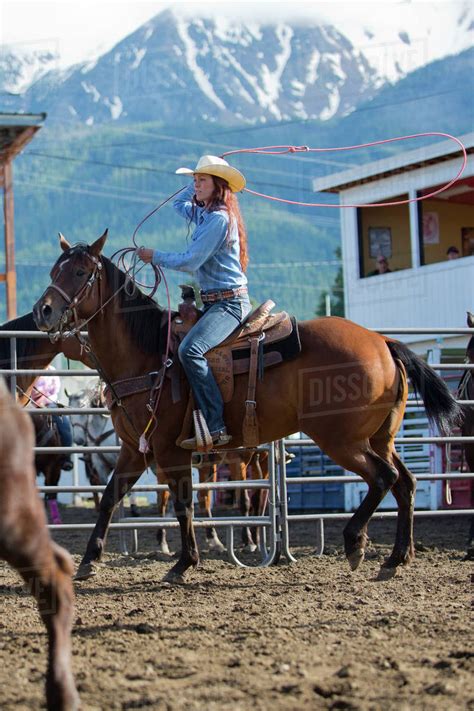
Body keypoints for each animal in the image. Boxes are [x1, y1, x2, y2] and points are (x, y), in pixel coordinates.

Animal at [32, 232, 462, 583]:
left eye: (80, 271)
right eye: (54, 269)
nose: (43, 311)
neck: (149, 357)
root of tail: (382, 341)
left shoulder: (170, 451)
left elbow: (185, 503)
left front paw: (184, 562)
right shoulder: (134, 450)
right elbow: (110, 497)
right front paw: (89, 561)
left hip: (341, 440)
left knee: (384, 478)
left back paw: (355, 542)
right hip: (378, 438)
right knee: (405, 483)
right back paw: (395, 558)